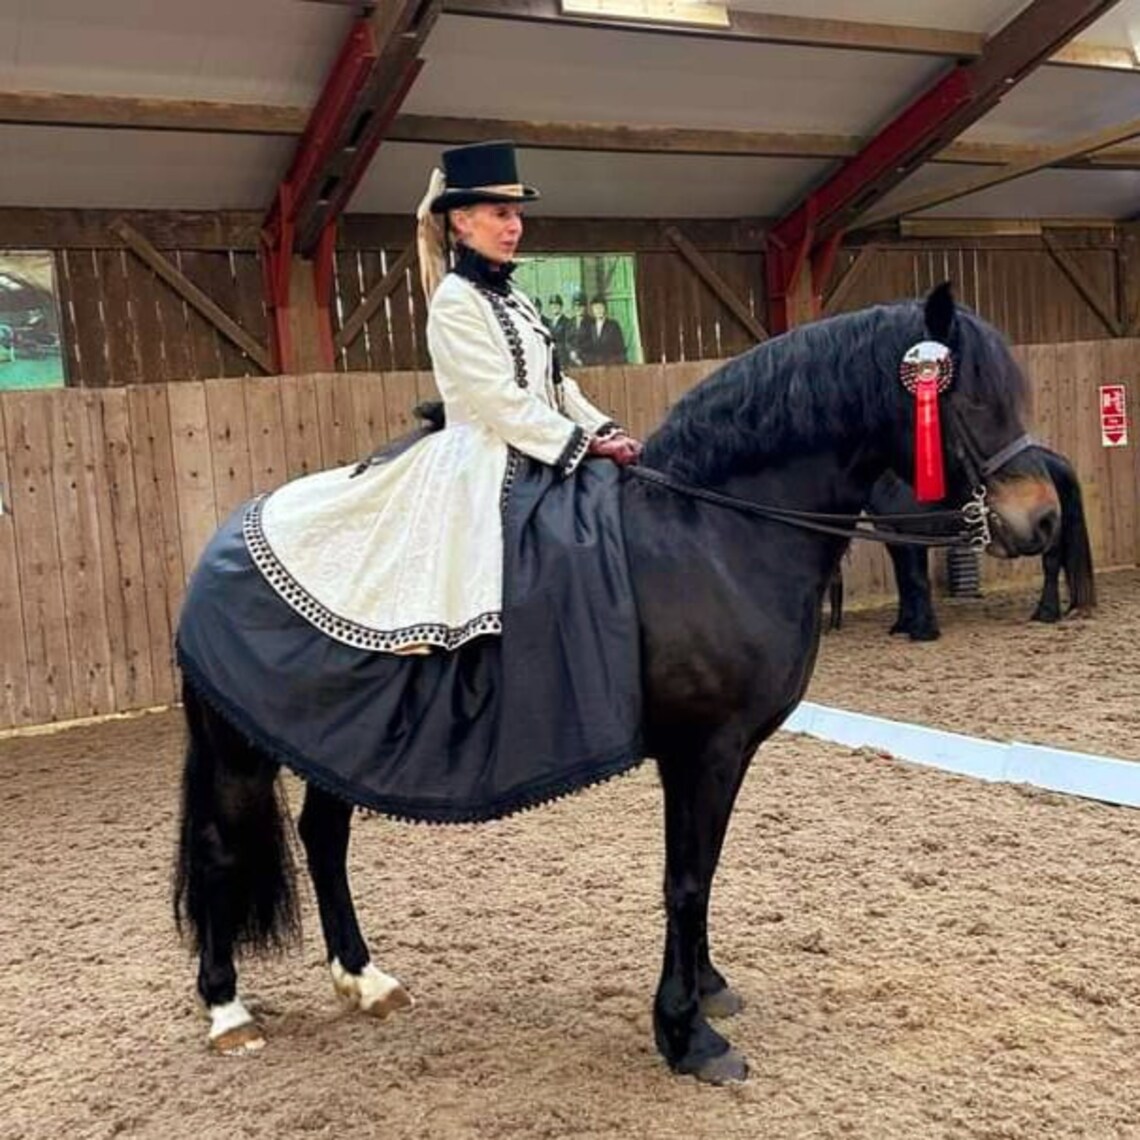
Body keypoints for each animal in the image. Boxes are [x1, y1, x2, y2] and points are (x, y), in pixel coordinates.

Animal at [173, 284, 1059, 1084]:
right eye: (972, 397)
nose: (1042, 519)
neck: (714, 533)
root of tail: (222, 542)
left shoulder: (732, 751)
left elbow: (708, 870)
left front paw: (708, 988)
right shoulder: (700, 750)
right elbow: (685, 881)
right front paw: (686, 1034)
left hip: (341, 745)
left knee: (324, 838)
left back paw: (365, 979)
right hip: (242, 751)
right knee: (221, 848)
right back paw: (227, 1011)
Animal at [827, 446, 1094, 640]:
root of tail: (1054, 461)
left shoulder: (912, 537)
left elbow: (916, 579)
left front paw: (924, 630)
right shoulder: (894, 538)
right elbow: (904, 581)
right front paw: (903, 625)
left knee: (1051, 566)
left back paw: (1045, 614)